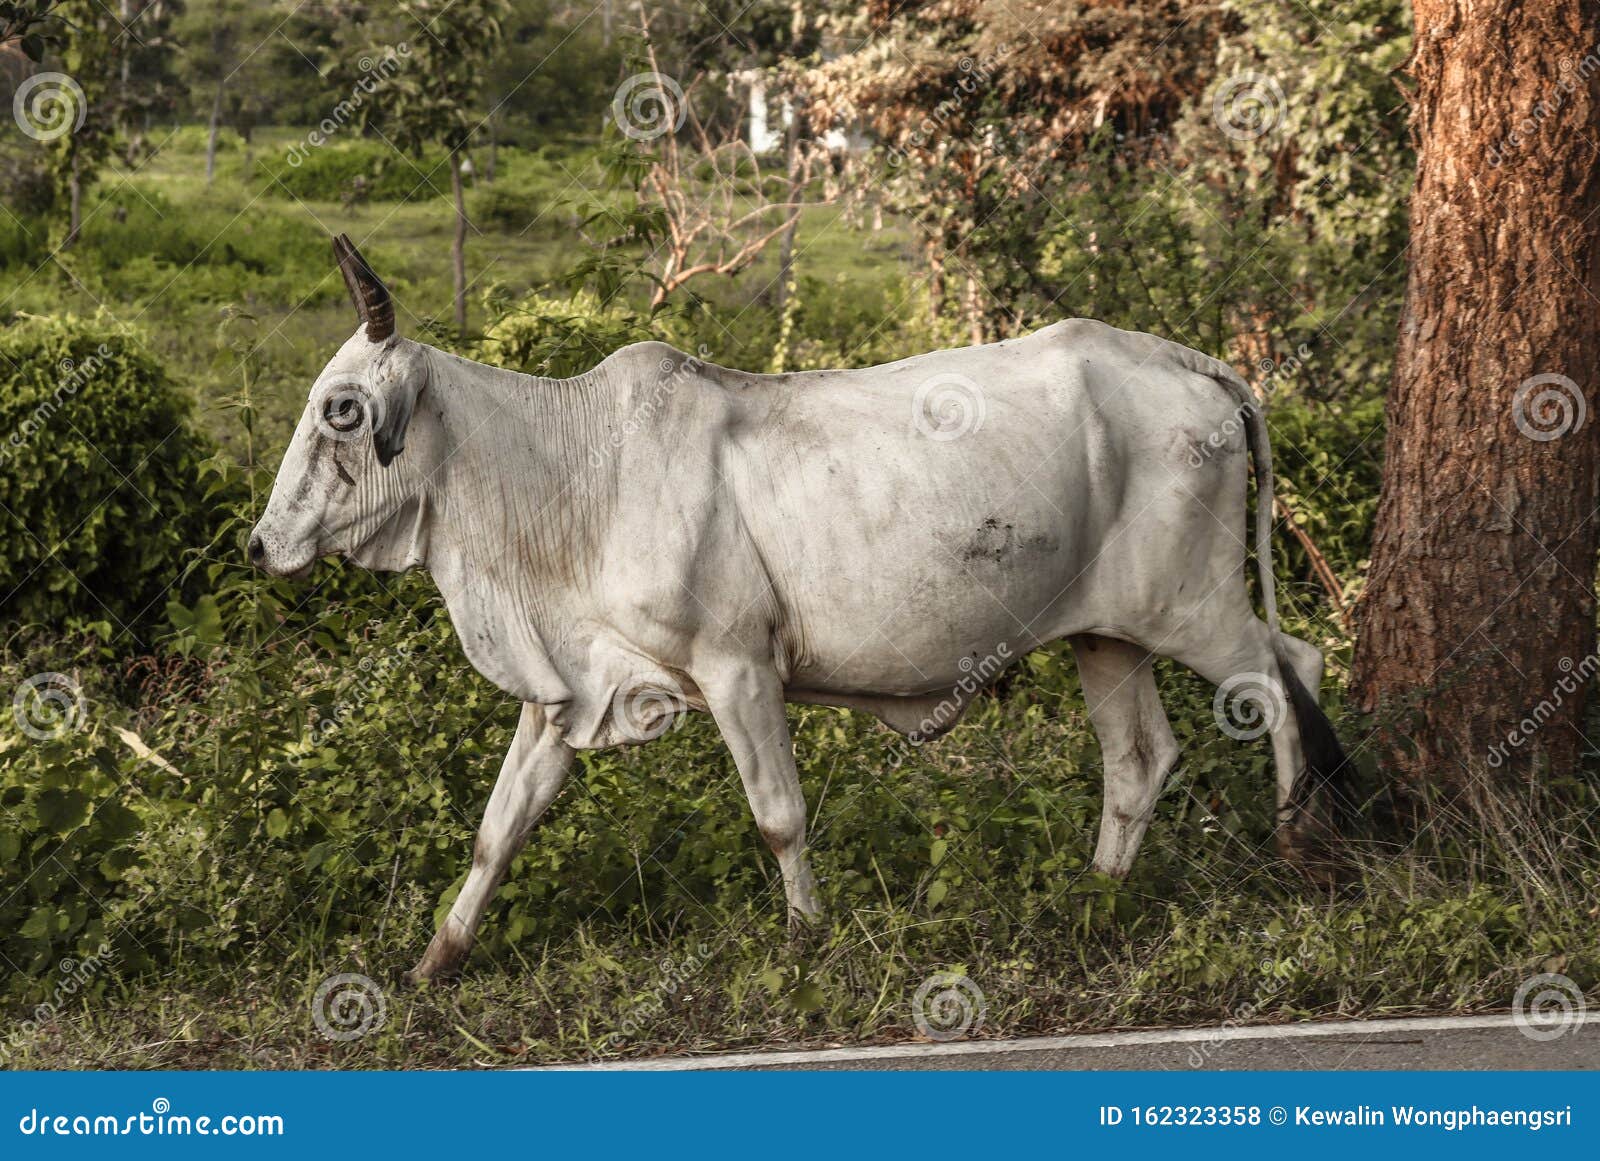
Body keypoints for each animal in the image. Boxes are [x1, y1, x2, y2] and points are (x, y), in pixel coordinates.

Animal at [249, 235, 1349, 982]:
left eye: (341, 410)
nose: (262, 546)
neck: (574, 473)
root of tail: (1185, 361)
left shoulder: (739, 668)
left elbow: (778, 816)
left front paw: (805, 940)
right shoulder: (568, 689)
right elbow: (498, 826)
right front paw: (436, 959)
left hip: (1192, 606)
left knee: (1287, 672)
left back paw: (1301, 850)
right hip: (1106, 636)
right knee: (1141, 759)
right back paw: (1098, 897)